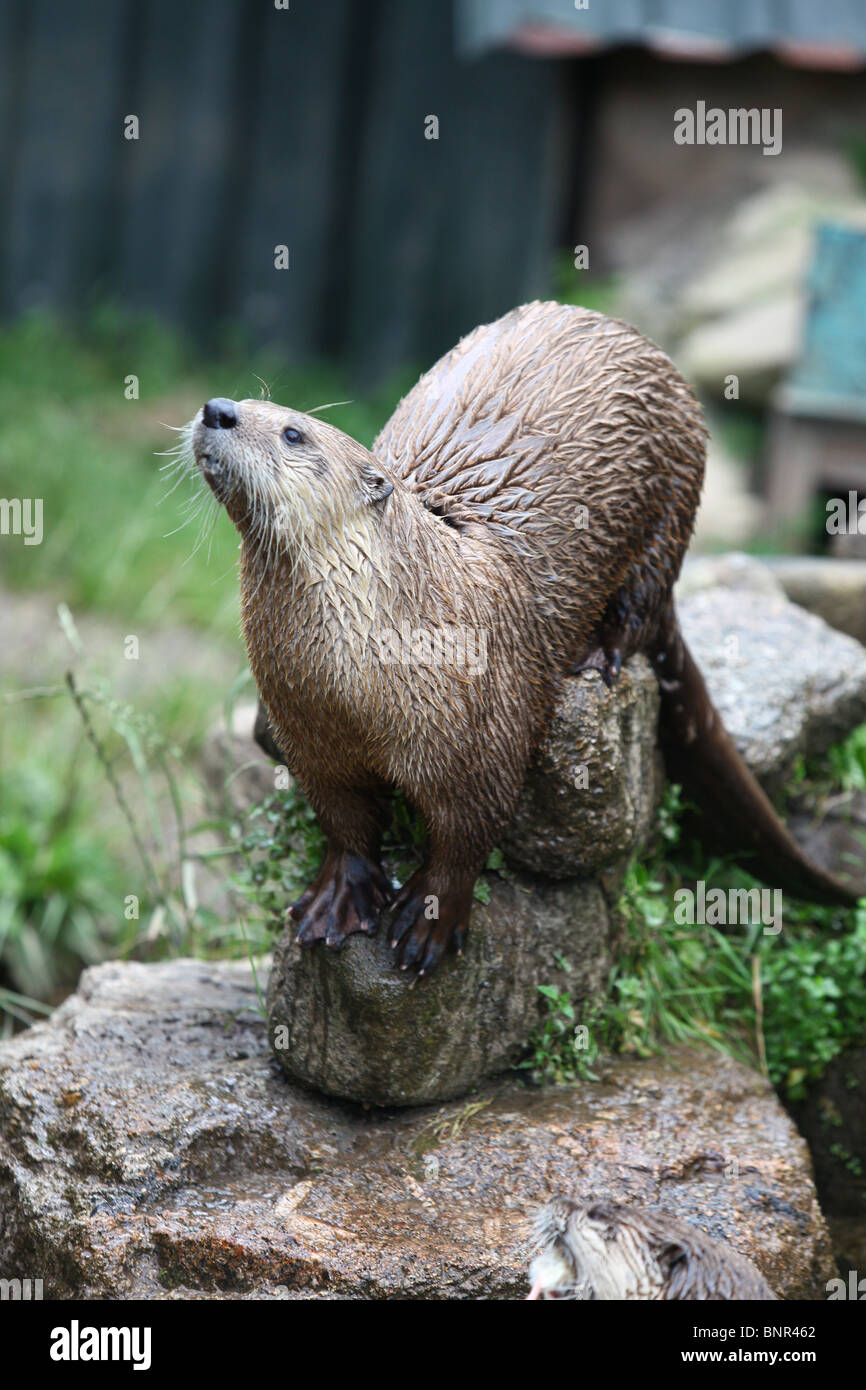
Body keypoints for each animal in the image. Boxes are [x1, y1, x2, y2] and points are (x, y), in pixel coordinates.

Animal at [188, 301, 860, 975]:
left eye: (292, 433)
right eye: (247, 400)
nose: (217, 408)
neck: (356, 687)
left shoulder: (485, 732)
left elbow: (467, 835)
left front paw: (430, 920)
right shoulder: (308, 736)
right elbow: (343, 820)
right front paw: (338, 898)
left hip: (672, 504)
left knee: (643, 607)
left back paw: (598, 653)